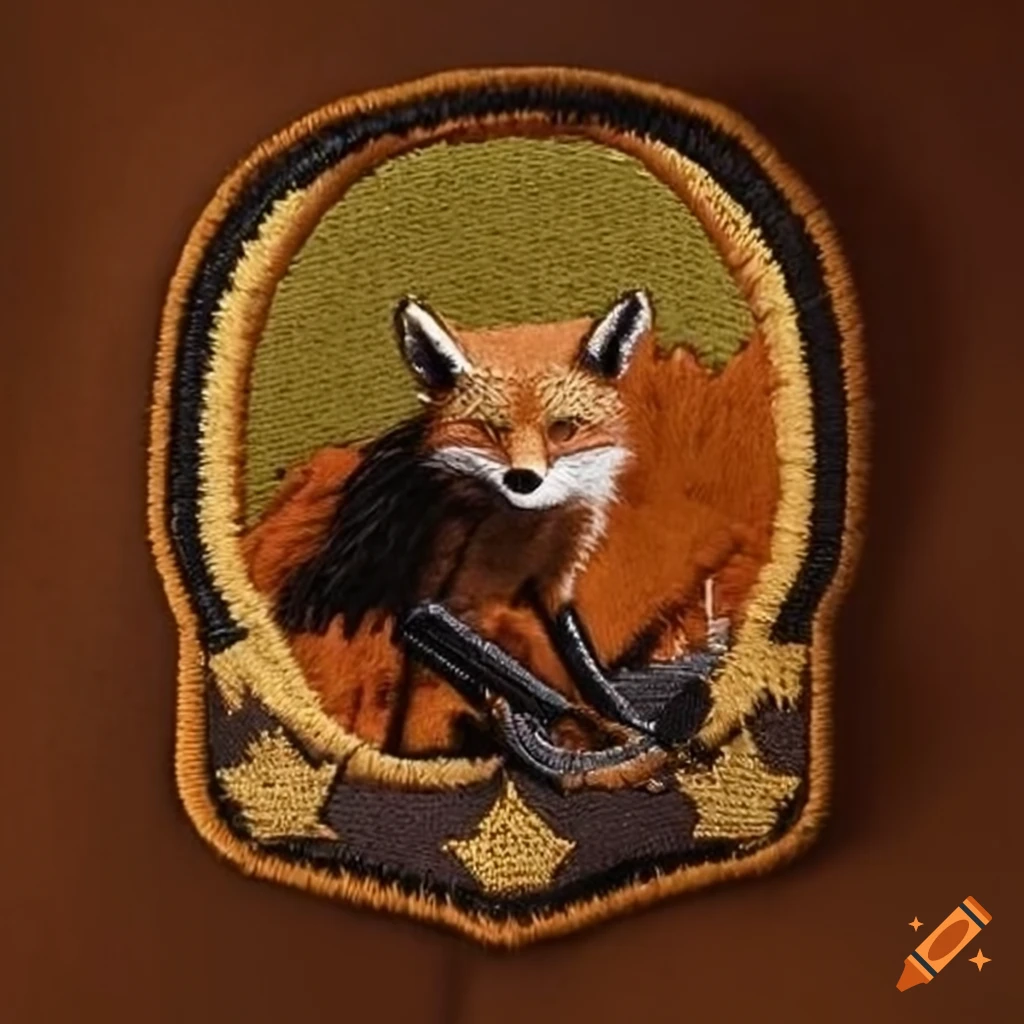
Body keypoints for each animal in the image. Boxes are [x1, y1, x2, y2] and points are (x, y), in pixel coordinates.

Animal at [242, 290, 779, 759]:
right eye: (491, 431)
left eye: (562, 429)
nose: (523, 478)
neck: (529, 529)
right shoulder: (432, 602)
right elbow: (514, 674)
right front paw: (585, 728)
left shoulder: (557, 582)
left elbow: (589, 670)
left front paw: (628, 717)